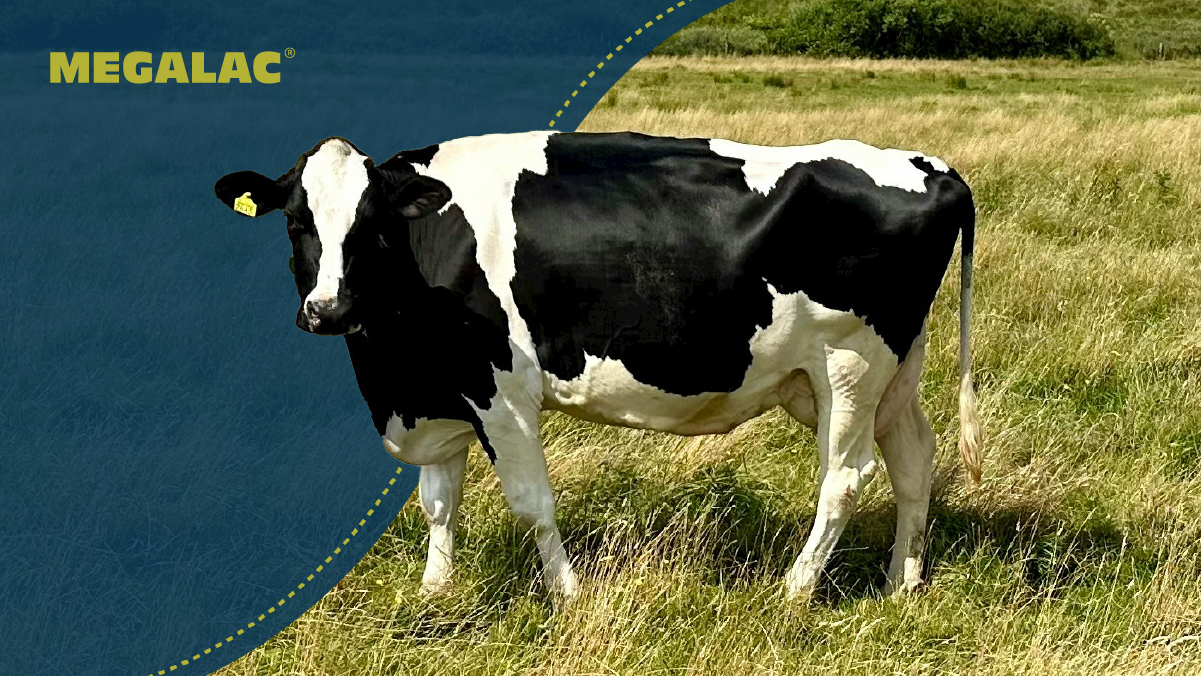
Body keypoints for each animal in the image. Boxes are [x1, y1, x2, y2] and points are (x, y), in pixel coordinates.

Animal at [213, 130, 981, 602]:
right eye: (295, 222)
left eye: (371, 225)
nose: (328, 308)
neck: (395, 369)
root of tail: (927, 166)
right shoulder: (441, 393)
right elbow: (438, 500)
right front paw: (435, 590)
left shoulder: (500, 392)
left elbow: (531, 502)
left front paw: (568, 594)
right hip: (888, 369)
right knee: (914, 455)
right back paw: (901, 582)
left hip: (850, 362)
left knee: (844, 479)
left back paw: (793, 590)